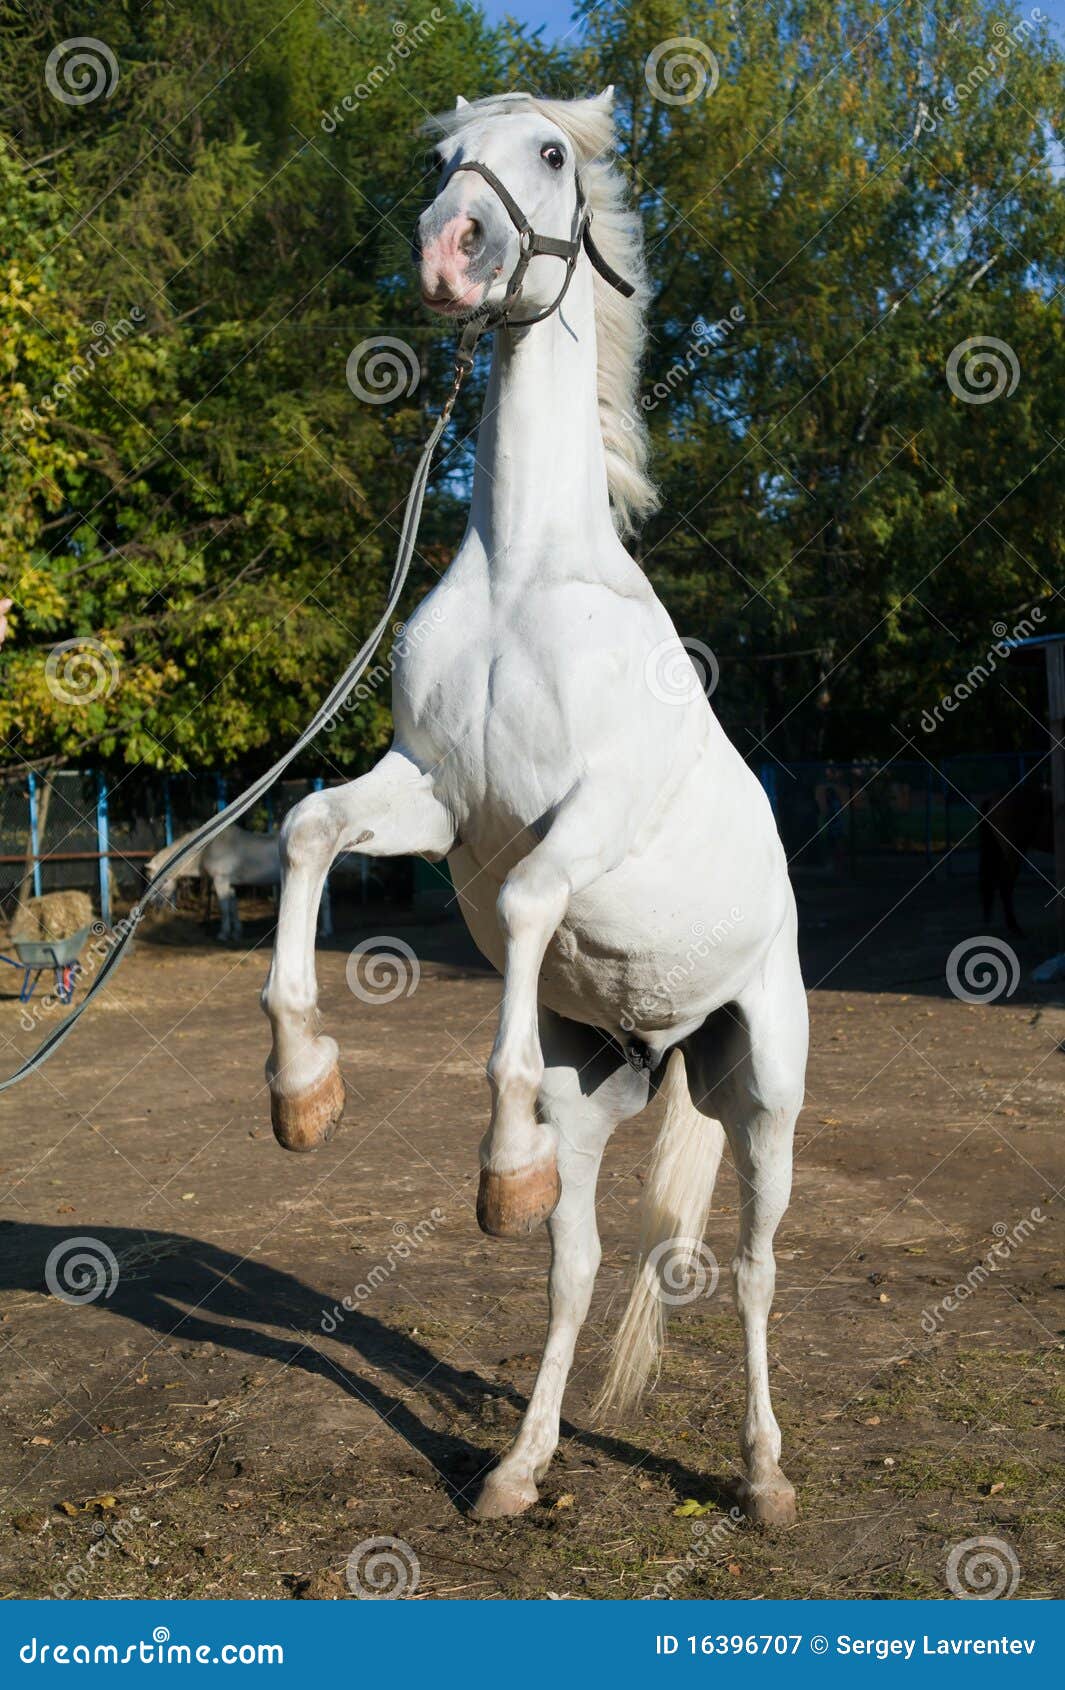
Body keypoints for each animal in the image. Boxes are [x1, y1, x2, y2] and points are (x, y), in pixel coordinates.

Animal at [147, 826, 333, 944]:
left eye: (155, 883)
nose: (153, 906)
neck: (207, 849)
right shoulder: (229, 884)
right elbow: (232, 906)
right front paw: (236, 932)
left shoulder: (220, 880)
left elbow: (224, 908)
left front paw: (223, 934)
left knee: (323, 901)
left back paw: (324, 932)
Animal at [260, 90, 807, 1528]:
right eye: (443, 155)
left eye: (549, 153)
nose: (450, 250)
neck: (521, 577)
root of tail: (679, 1040)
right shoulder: (433, 795)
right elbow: (308, 829)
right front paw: (303, 1090)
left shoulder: (587, 820)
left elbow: (520, 904)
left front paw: (488, 1148)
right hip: (599, 1090)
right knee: (576, 1259)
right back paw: (518, 1465)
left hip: (768, 1094)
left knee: (754, 1266)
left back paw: (764, 1476)